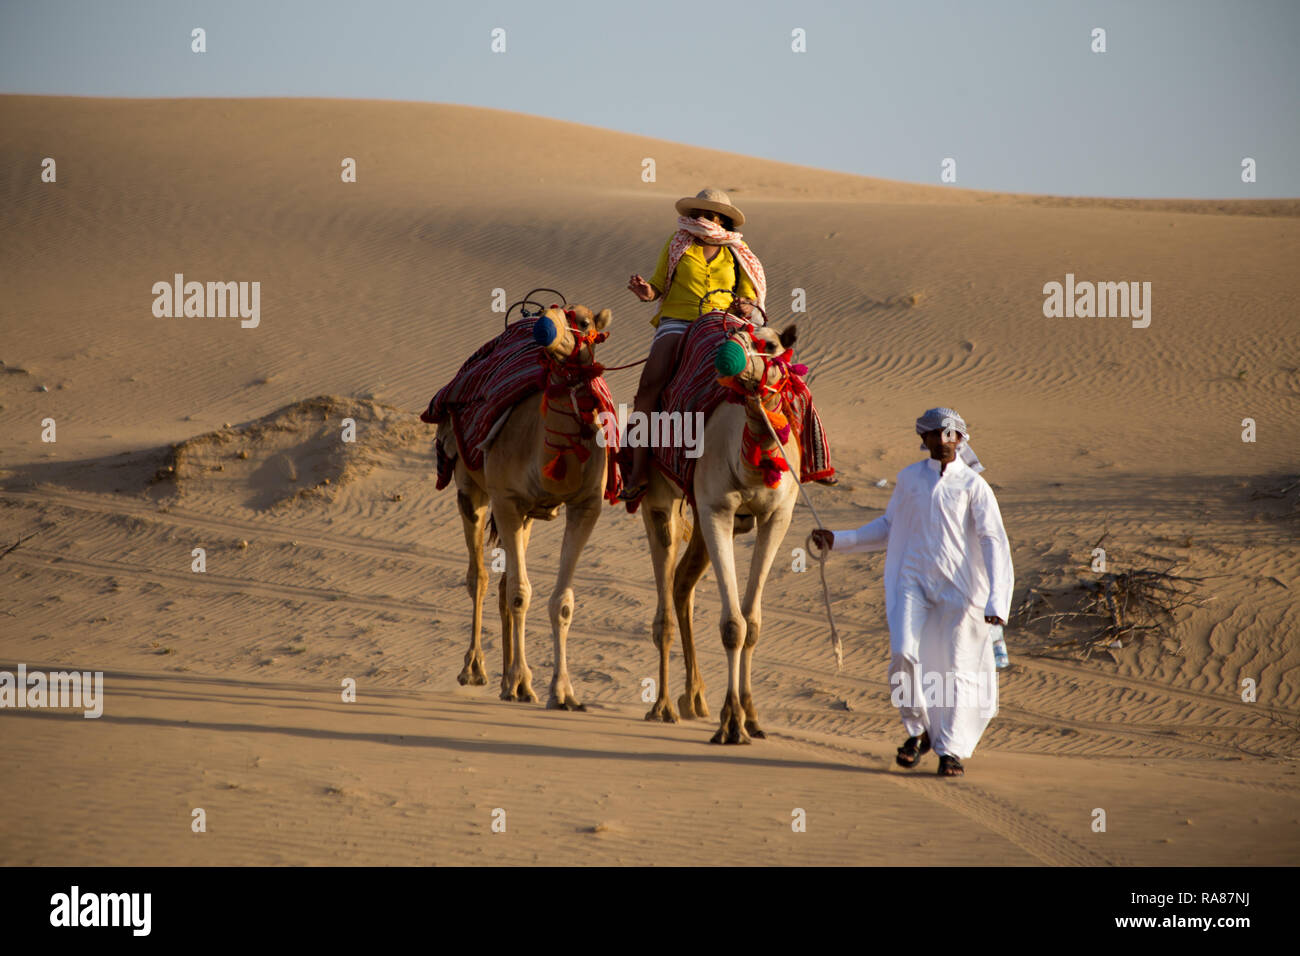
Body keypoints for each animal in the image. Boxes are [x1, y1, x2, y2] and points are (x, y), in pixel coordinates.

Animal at [440, 305, 614, 709]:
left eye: (584, 322)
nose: (543, 325)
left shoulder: (586, 506)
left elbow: (561, 601)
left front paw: (562, 692)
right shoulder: (506, 498)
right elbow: (521, 593)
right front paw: (522, 681)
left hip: (525, 517)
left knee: (503, 583)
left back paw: (506, 679)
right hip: (471, 488)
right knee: (480, 577)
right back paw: (476, 670)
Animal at [640, 320, 801, 744]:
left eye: (771, 344)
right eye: (737, 334)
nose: (729, 355)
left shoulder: (778, 516)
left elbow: (753, 623)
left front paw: (751, 716)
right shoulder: (717, 510)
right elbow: (733, 625)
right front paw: (731, 724)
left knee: (682, 582)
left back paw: (695, 698)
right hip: (659, 497)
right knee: (665, 597)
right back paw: (663, 706)